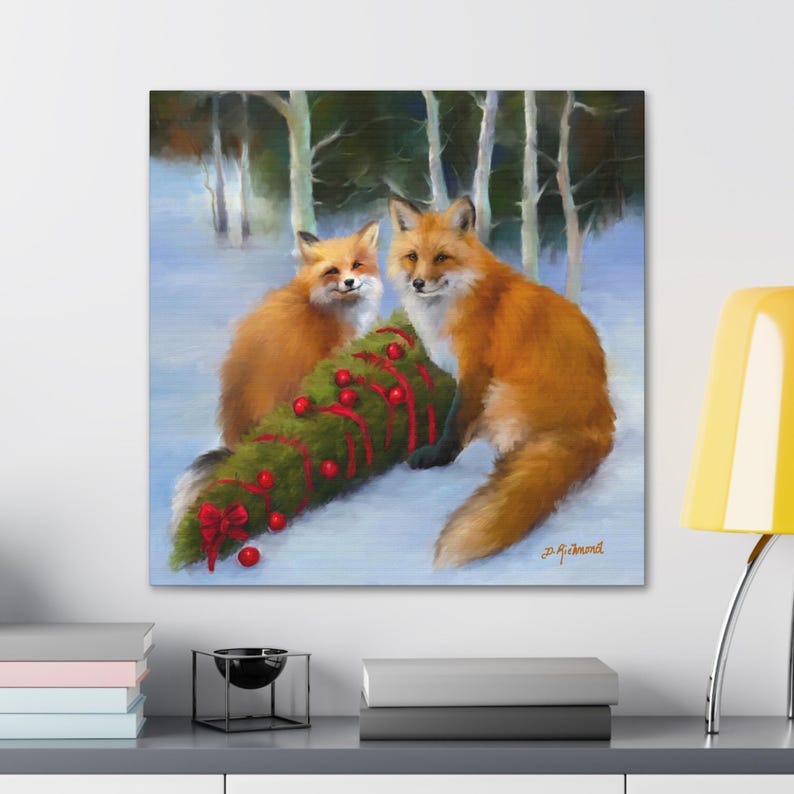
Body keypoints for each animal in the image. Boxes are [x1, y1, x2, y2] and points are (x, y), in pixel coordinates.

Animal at [168, 222, 383, 537]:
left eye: (357, 264)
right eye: (332, 271)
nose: (350, 282)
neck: (325, 304)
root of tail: (237, 442)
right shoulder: (332, 353)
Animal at [388, 195, 615, 569]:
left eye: (441, 257)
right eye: (412, 257)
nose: (418, 283)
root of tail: (599, 425)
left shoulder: (475, 371)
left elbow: (455, 422)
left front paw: (439, 456)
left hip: (502, 394)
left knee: (511, 451)